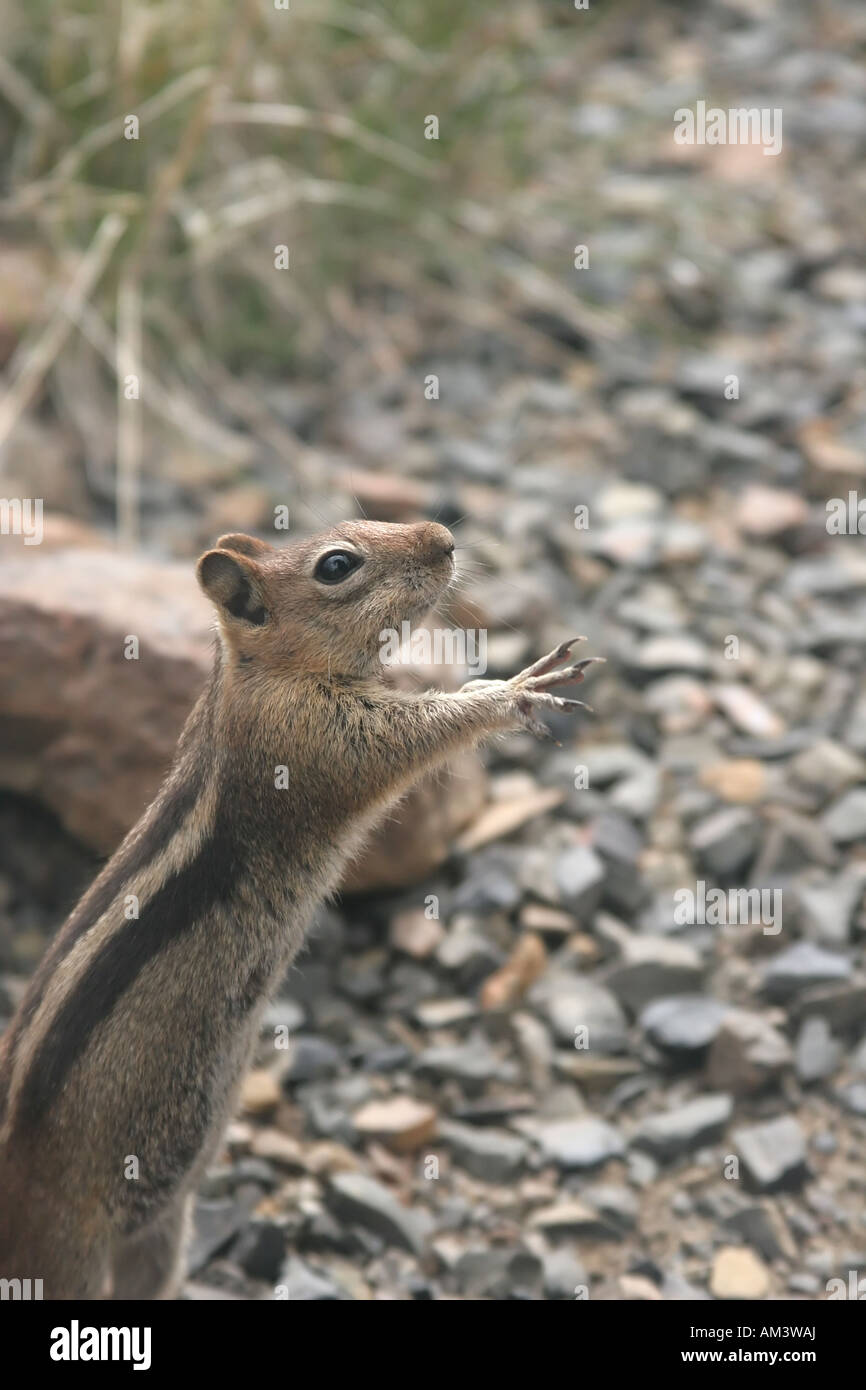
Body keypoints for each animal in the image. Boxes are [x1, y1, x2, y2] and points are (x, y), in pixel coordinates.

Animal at [0, 520, 600, 1299]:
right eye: (337, 565)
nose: (444, 538)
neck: (254, 675)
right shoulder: (326, 741)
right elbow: (422, 731)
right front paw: (517, 690)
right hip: (67, 1251)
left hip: (164, 1215)